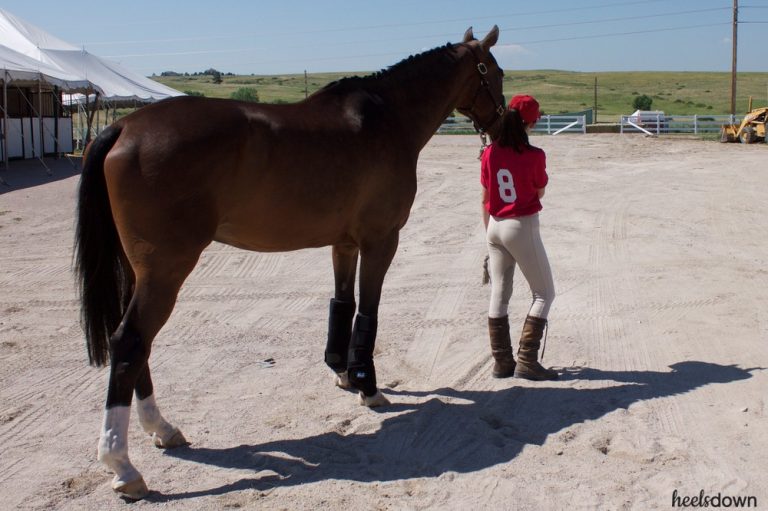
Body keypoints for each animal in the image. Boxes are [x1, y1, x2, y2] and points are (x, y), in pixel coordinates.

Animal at [74, 26, 505, 499]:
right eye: (496, 73)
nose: (506, 125)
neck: (388, 118)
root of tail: (123, 126)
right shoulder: (380, 241)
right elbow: (368, 312)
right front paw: (367, 387)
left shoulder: (344, 244)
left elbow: (343, 305)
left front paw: (343, 372)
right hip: (166, 271)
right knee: (130, 342)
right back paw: (122, 464)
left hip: (142, 272)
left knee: (139, 346)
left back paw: (162, 429)